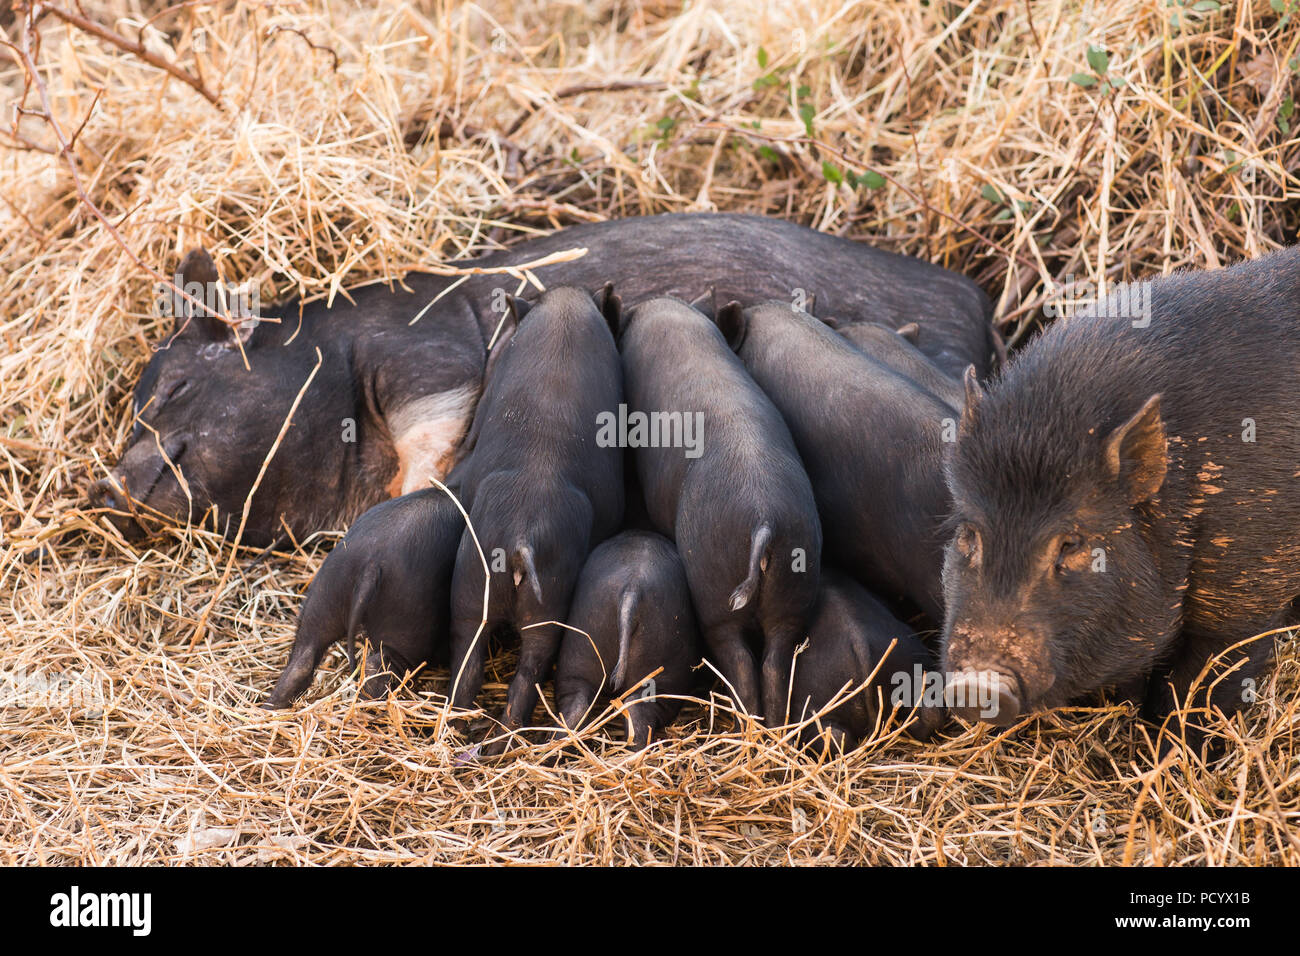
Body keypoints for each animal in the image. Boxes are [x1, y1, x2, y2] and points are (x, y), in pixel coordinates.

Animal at [263, 486, 464, 708]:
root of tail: (372, 562)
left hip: (326, 591)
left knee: (303, 658)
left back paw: (271, 707)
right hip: (410, 624)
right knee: (381, 668)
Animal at [446, 286, 623, 749]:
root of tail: (519, 537)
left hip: (474, 587)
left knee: (477, 663)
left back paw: (468, 730)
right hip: (528, 600)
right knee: (519, 668)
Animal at [617, 296, 822, 724]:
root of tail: (764, 520)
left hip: (713, 593)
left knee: (739, 660)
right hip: (795, 588)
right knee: (775, 663)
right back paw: (771, 726)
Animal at [942, 247, 1300, 744]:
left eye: (1071, 542)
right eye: (969, 532)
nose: (975, 686)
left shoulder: (1249, 590)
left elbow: (1204, 685)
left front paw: (1170, 750)